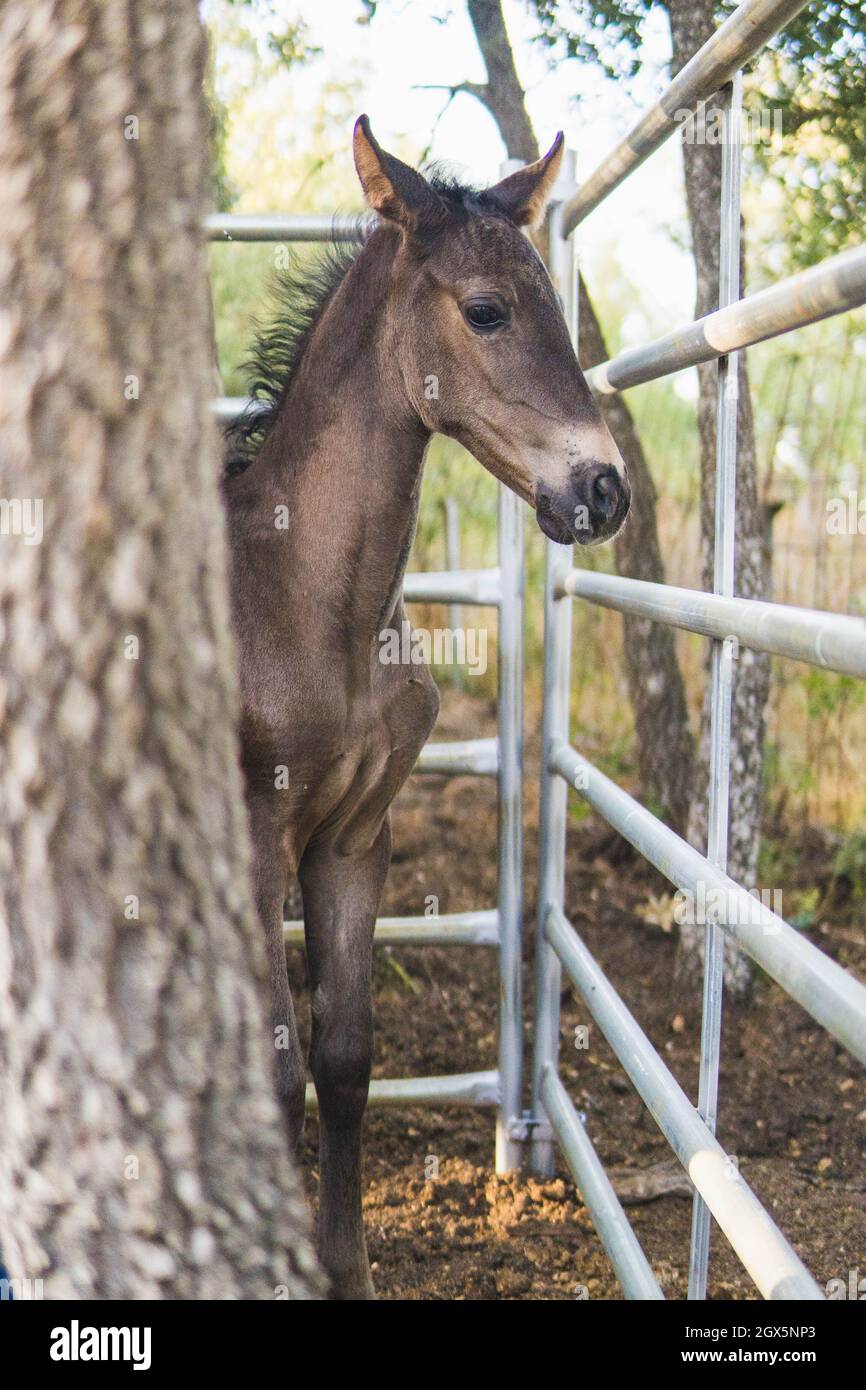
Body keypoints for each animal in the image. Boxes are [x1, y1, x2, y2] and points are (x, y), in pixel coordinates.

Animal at [222, 116, 630, 1299]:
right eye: (486, 309)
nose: (604, 490)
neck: (304, 597)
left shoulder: (357, 836)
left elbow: (346, 1058)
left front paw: (345, 1270)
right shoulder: (254, 833)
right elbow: (276, 1072)